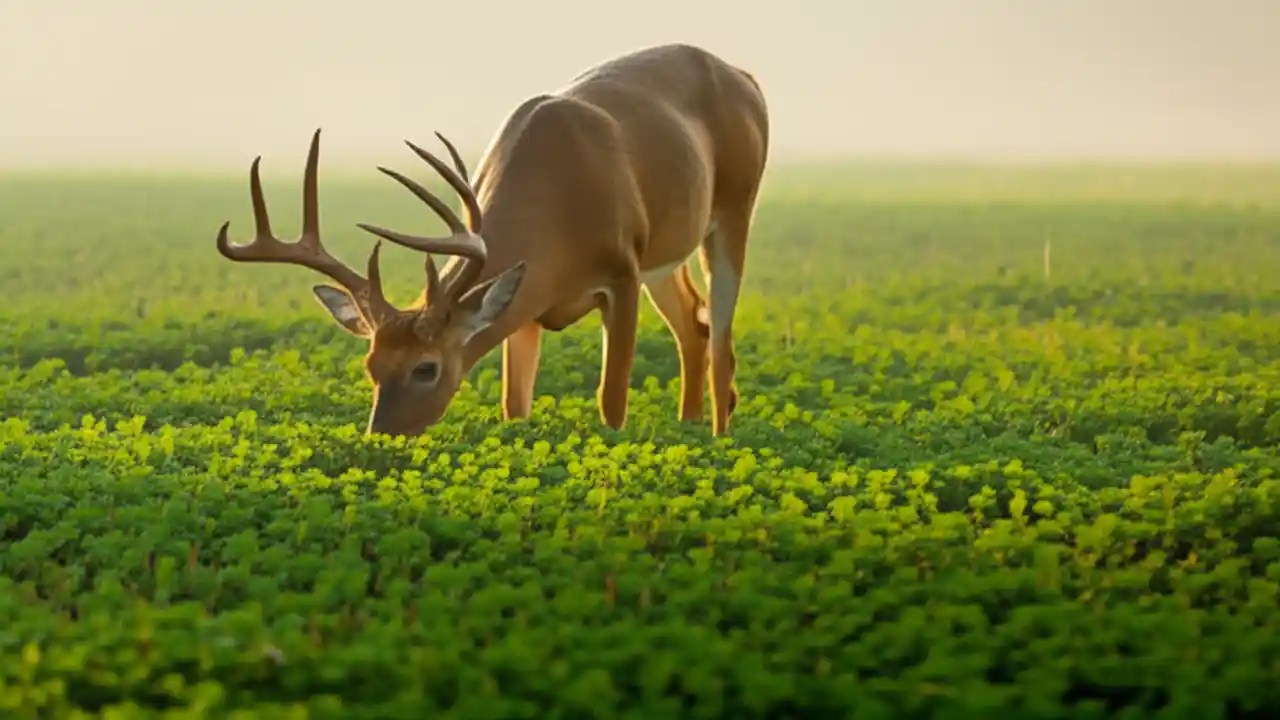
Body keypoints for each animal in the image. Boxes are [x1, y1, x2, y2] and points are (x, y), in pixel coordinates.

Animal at [214, 43, 769, 438]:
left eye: (427, 368)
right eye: (371, 364)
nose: (381, 437)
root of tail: (745, 77)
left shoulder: (622, 270)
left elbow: (611, 402)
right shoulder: (527, 304)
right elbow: (513, 408)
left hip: (734, 212)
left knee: (721, 343)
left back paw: (717, 440)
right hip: (668, 255)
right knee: (692, 326)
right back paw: (688, 427)